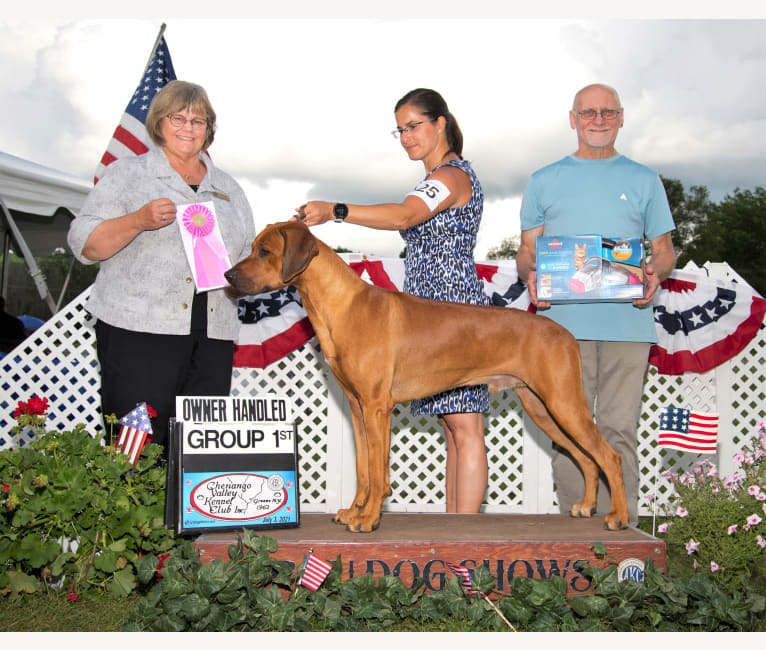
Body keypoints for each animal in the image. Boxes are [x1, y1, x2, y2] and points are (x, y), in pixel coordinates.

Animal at [226, 220, 632, 528]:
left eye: (264, 251)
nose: (228, 275)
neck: (342, 305)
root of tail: (566, 333)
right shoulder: (357, 408)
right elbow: (363, 468)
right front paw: (355, 511)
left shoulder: (377, 406)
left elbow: (378, 471)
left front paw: (369, 517)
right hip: (542, 408)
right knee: (586, 458)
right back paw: (586, 506)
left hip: (563, 403)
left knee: (608, 457)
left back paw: (618, 516)